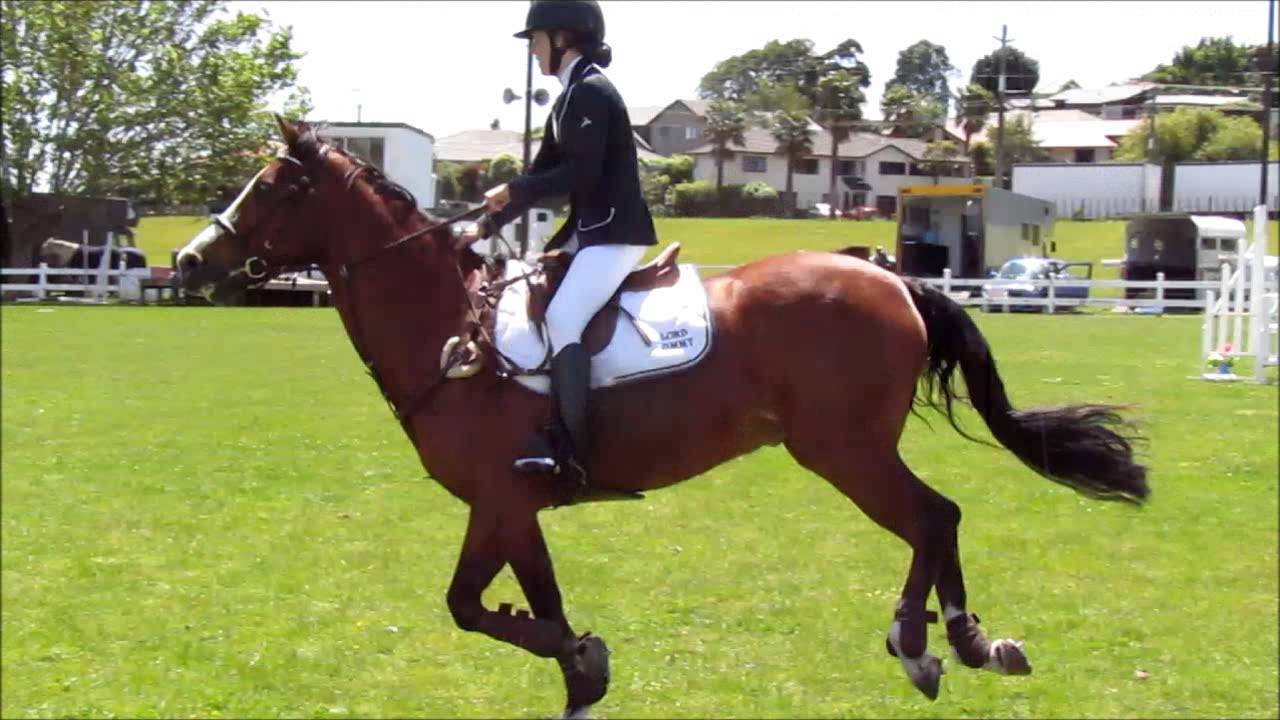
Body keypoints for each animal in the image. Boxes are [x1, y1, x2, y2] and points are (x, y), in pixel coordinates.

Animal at [176, 116, 1148, 716]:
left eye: (272, 187)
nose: (187, 262)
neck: (450, 326)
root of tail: (890, 274)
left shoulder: (504, 498)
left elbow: (474, 603)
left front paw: (582, 660)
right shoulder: (506, 508)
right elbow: (506, 600)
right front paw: (579, 670)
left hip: (842, 450)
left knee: (931, 516)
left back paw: (925, 644)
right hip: (850, 448)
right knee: (938, 518)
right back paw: (972, 642)